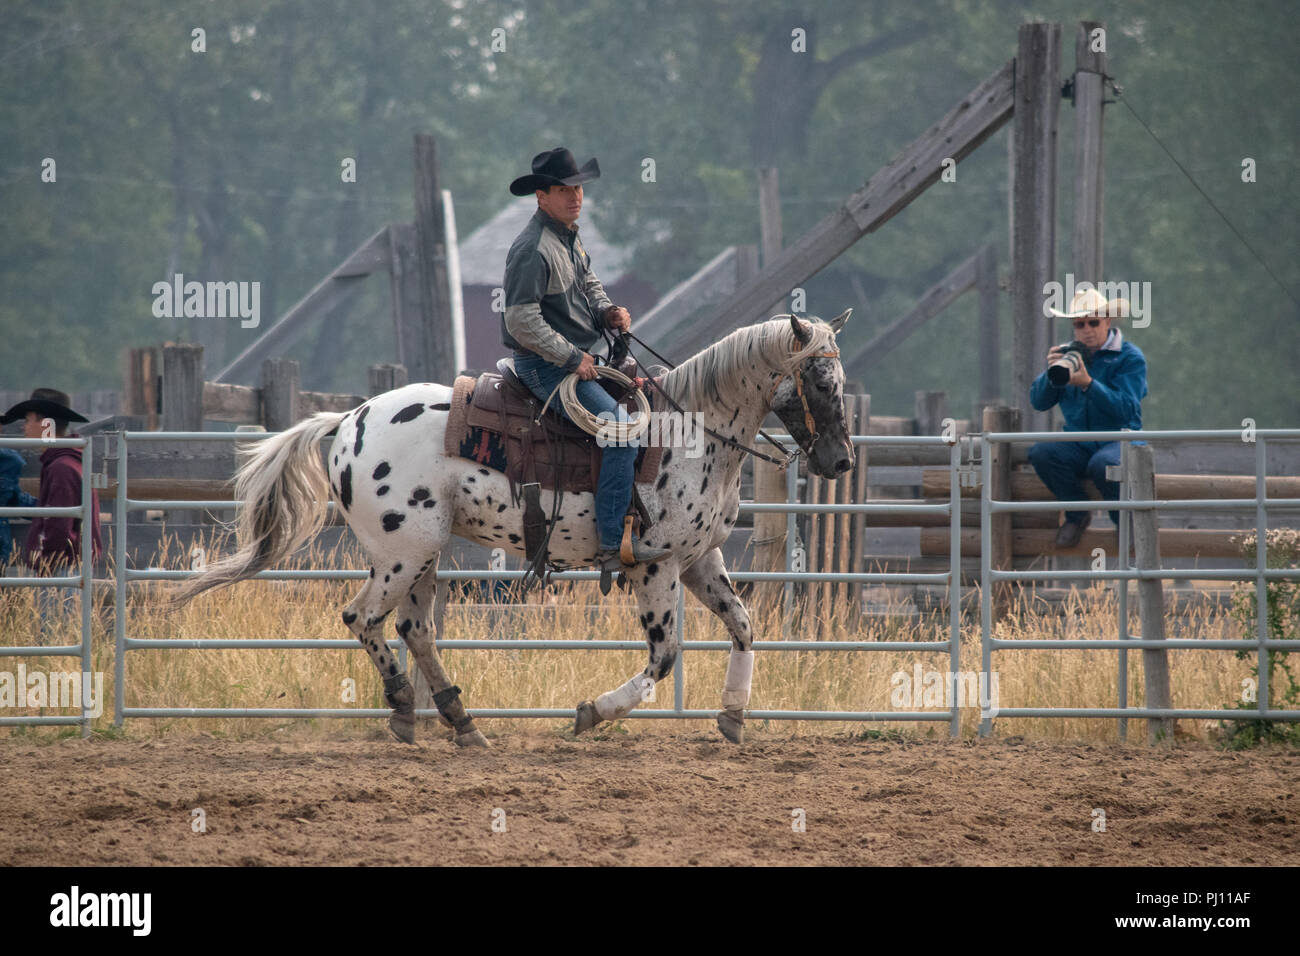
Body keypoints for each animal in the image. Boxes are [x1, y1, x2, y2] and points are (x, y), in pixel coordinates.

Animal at [171, 311, 854, 747]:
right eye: (822, 381)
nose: (841, 460)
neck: (689, 435)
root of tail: (348, 422)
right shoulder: (654, 564)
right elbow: (663, 657)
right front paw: (590, 714)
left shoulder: (699, 560)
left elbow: (744, 627)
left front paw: (733, 717)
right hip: (400, 551)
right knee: (362, 619)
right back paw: (405, 706)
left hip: (423, 554)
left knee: (414, 628)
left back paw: (460, 721)